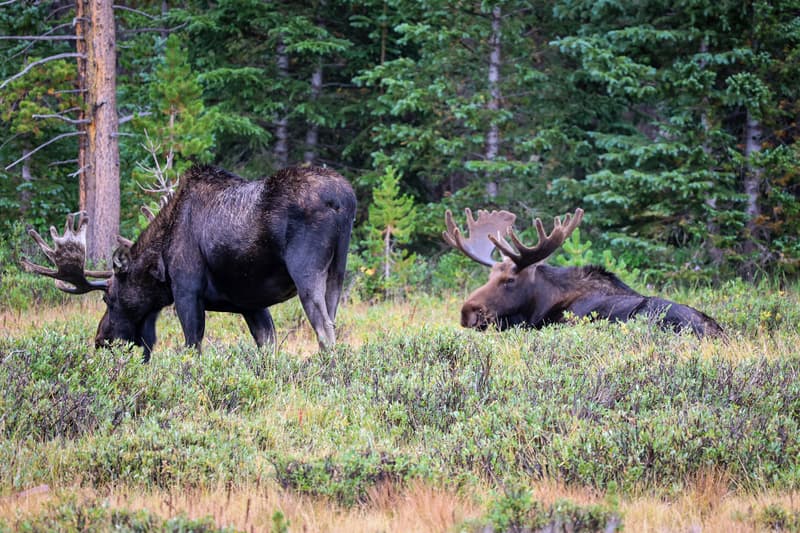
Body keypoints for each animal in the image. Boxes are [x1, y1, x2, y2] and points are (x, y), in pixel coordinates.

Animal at [22, 164, 357, 361]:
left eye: (108, 298)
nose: (100, 339)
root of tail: (345, 199)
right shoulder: (250, 303)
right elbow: (267, 347)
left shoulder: (186, 290)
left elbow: (192, 347)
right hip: (337, 272)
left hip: (306, 271)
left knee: (325, 331)